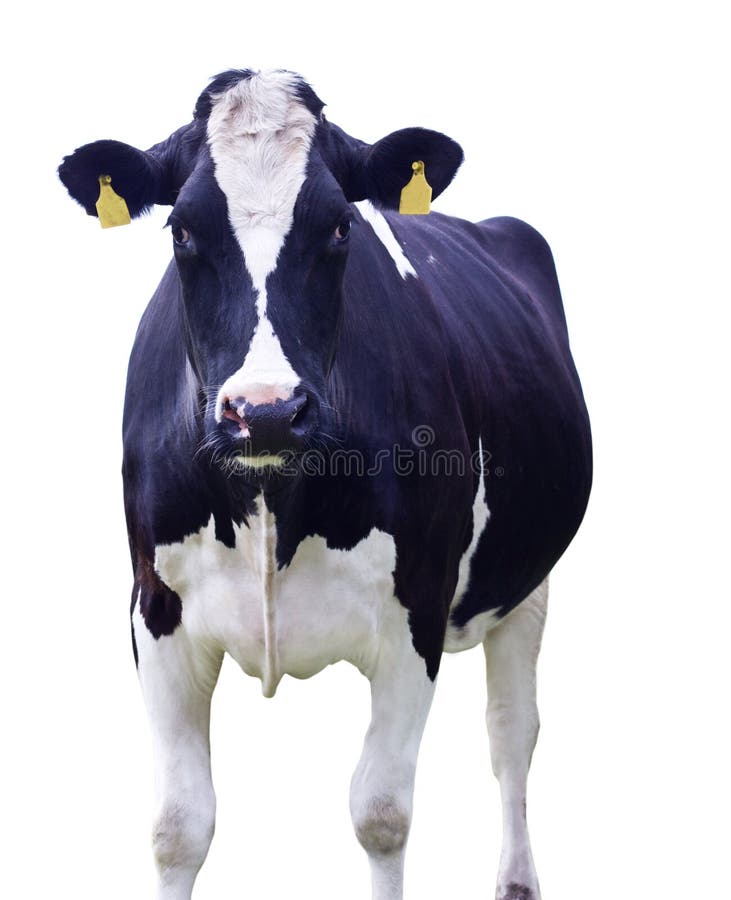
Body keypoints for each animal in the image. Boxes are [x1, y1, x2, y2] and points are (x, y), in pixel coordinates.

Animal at [58, 68, 592, 900]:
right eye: (180, 230)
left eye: (340, 226)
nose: (266, 411)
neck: (272, 500)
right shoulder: (153, 607)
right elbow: (178, 827)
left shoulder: (418, 608)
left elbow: (381, 814)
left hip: (526, 580)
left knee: (512, 730)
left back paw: (516, 879)